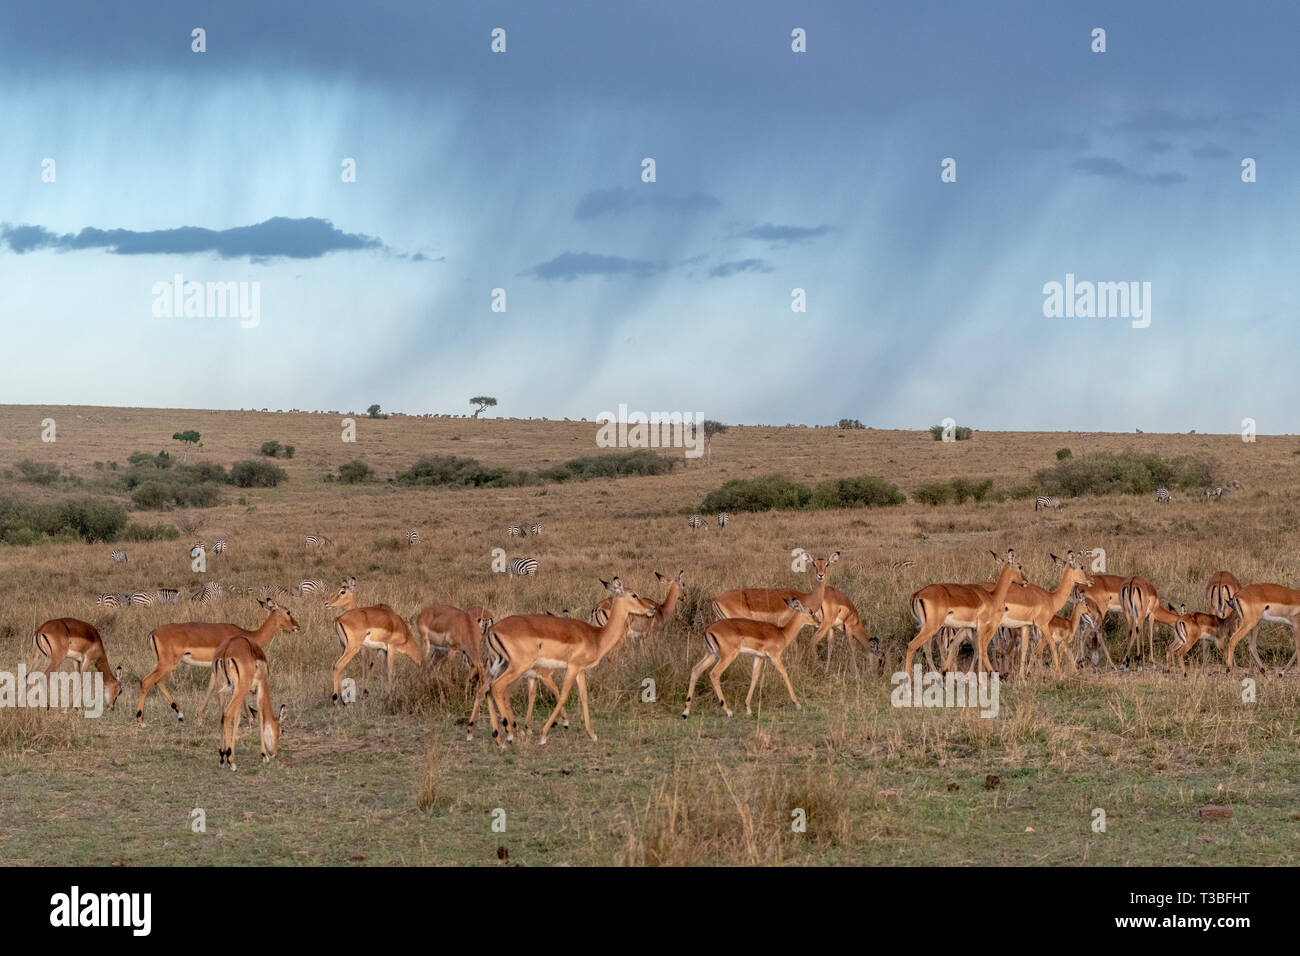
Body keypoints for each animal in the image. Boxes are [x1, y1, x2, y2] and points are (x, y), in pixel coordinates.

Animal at [136, 599, 300, 725]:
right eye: (288, 612)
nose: (297, 627)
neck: (247, 635)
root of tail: (153, 633)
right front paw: (250, 717)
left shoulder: (214, 669)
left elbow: (210, 688)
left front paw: (199, 718)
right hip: (167, 664)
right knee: (146, 681)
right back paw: (141, 721)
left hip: (166, 664)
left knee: (158, 682)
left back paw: (180, 714)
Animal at [212, 636, 286, 772]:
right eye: (281, 731)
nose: (274, 753)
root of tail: (225, 650)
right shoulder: (261, 686)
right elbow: (260, 714)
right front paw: (264, 756)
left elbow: (238, 718)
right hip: (240, 688)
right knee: (227, 715)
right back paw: (231, 763)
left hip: (223, 690)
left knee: (222, 717)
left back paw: (222, 759)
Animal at [481, 582, 656, 747]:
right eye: (634, 594)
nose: (652, 608)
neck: (597, 636)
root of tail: (492, 630)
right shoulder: (572, 667)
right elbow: (563, 695)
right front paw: (544, 735)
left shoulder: (580, 670)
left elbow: (583, 696)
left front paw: (592, 734)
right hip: (517, 667)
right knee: (496, 687)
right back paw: (510, 736)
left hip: (501, 666)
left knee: (487, 690)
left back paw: (499, 740)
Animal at [683, 598, 821, 718]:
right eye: (810, 612)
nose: (819, 623)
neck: (782, 633)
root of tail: (708, 630)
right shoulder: (774, 656)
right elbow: (784, 673)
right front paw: (797, 703)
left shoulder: (759, 657)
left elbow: (755, 677)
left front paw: (748, 707)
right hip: (727, 656)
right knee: (714, 674)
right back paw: (728, 711)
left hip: (712, 655)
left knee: (696, 670)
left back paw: (686, 712)